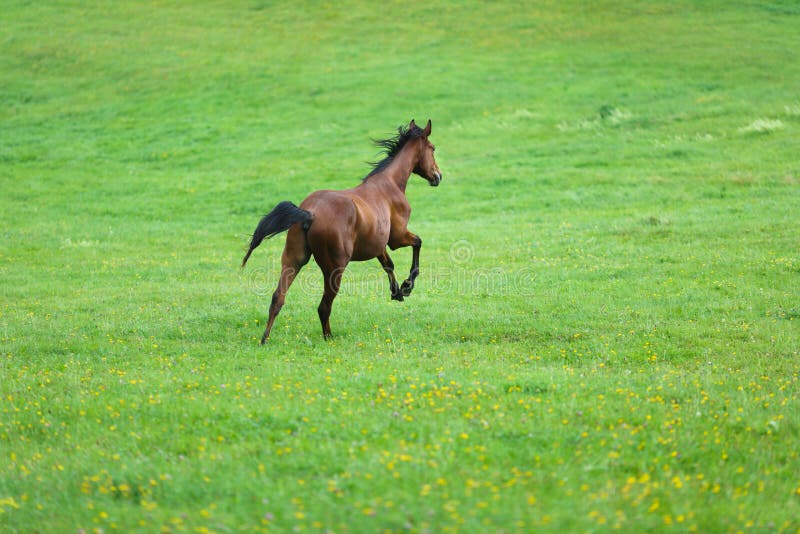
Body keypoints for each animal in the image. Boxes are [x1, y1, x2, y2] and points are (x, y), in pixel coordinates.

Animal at [241, 119, 442, 343]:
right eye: (433, 148)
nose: (438, 176)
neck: (389, 184)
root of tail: (310, 213)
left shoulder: (378, 245)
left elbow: (388, 265)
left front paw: (397, 292)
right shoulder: (397, 238)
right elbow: (417, 243)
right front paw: (407, 286)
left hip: (293, 260)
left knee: (278, 297)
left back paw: (264, 339)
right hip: (334, 270)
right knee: (323, 306)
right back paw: (328, 337)